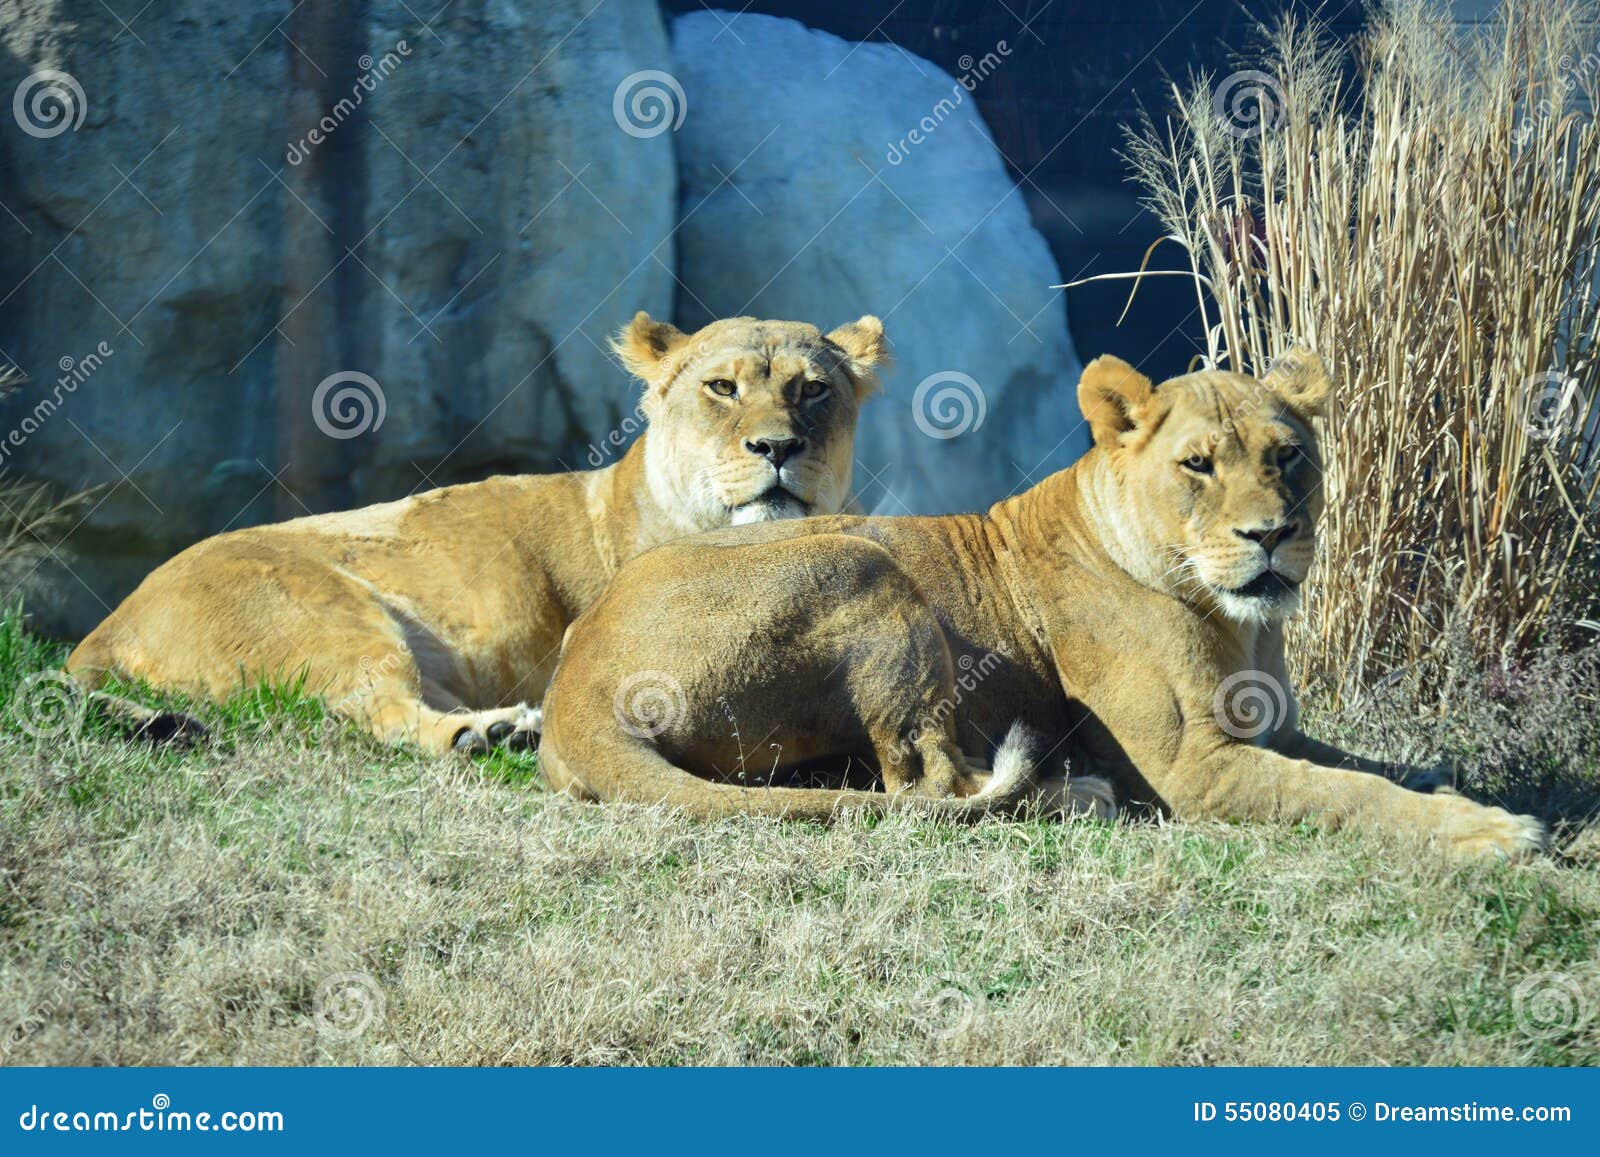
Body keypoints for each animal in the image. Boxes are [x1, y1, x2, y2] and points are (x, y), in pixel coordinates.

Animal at [65, 312, 886, 753]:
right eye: (722, 387)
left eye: (813, 390)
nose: (777, 447)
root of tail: (103, 627)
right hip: (325, 612)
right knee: (377, 710)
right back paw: (483, 737)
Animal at [536, 350, 1547, 855]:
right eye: (1197, 465)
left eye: (1286, 455)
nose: (1271, 535)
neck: (1237, 622)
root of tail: (573, 685)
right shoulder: (1193, 770)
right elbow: (1349, 795)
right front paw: (1496, 833)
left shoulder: (1274, 731)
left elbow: (1378, 769)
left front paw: (1470, 796)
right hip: (861, 563)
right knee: (928, 784)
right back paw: (1078, 796)